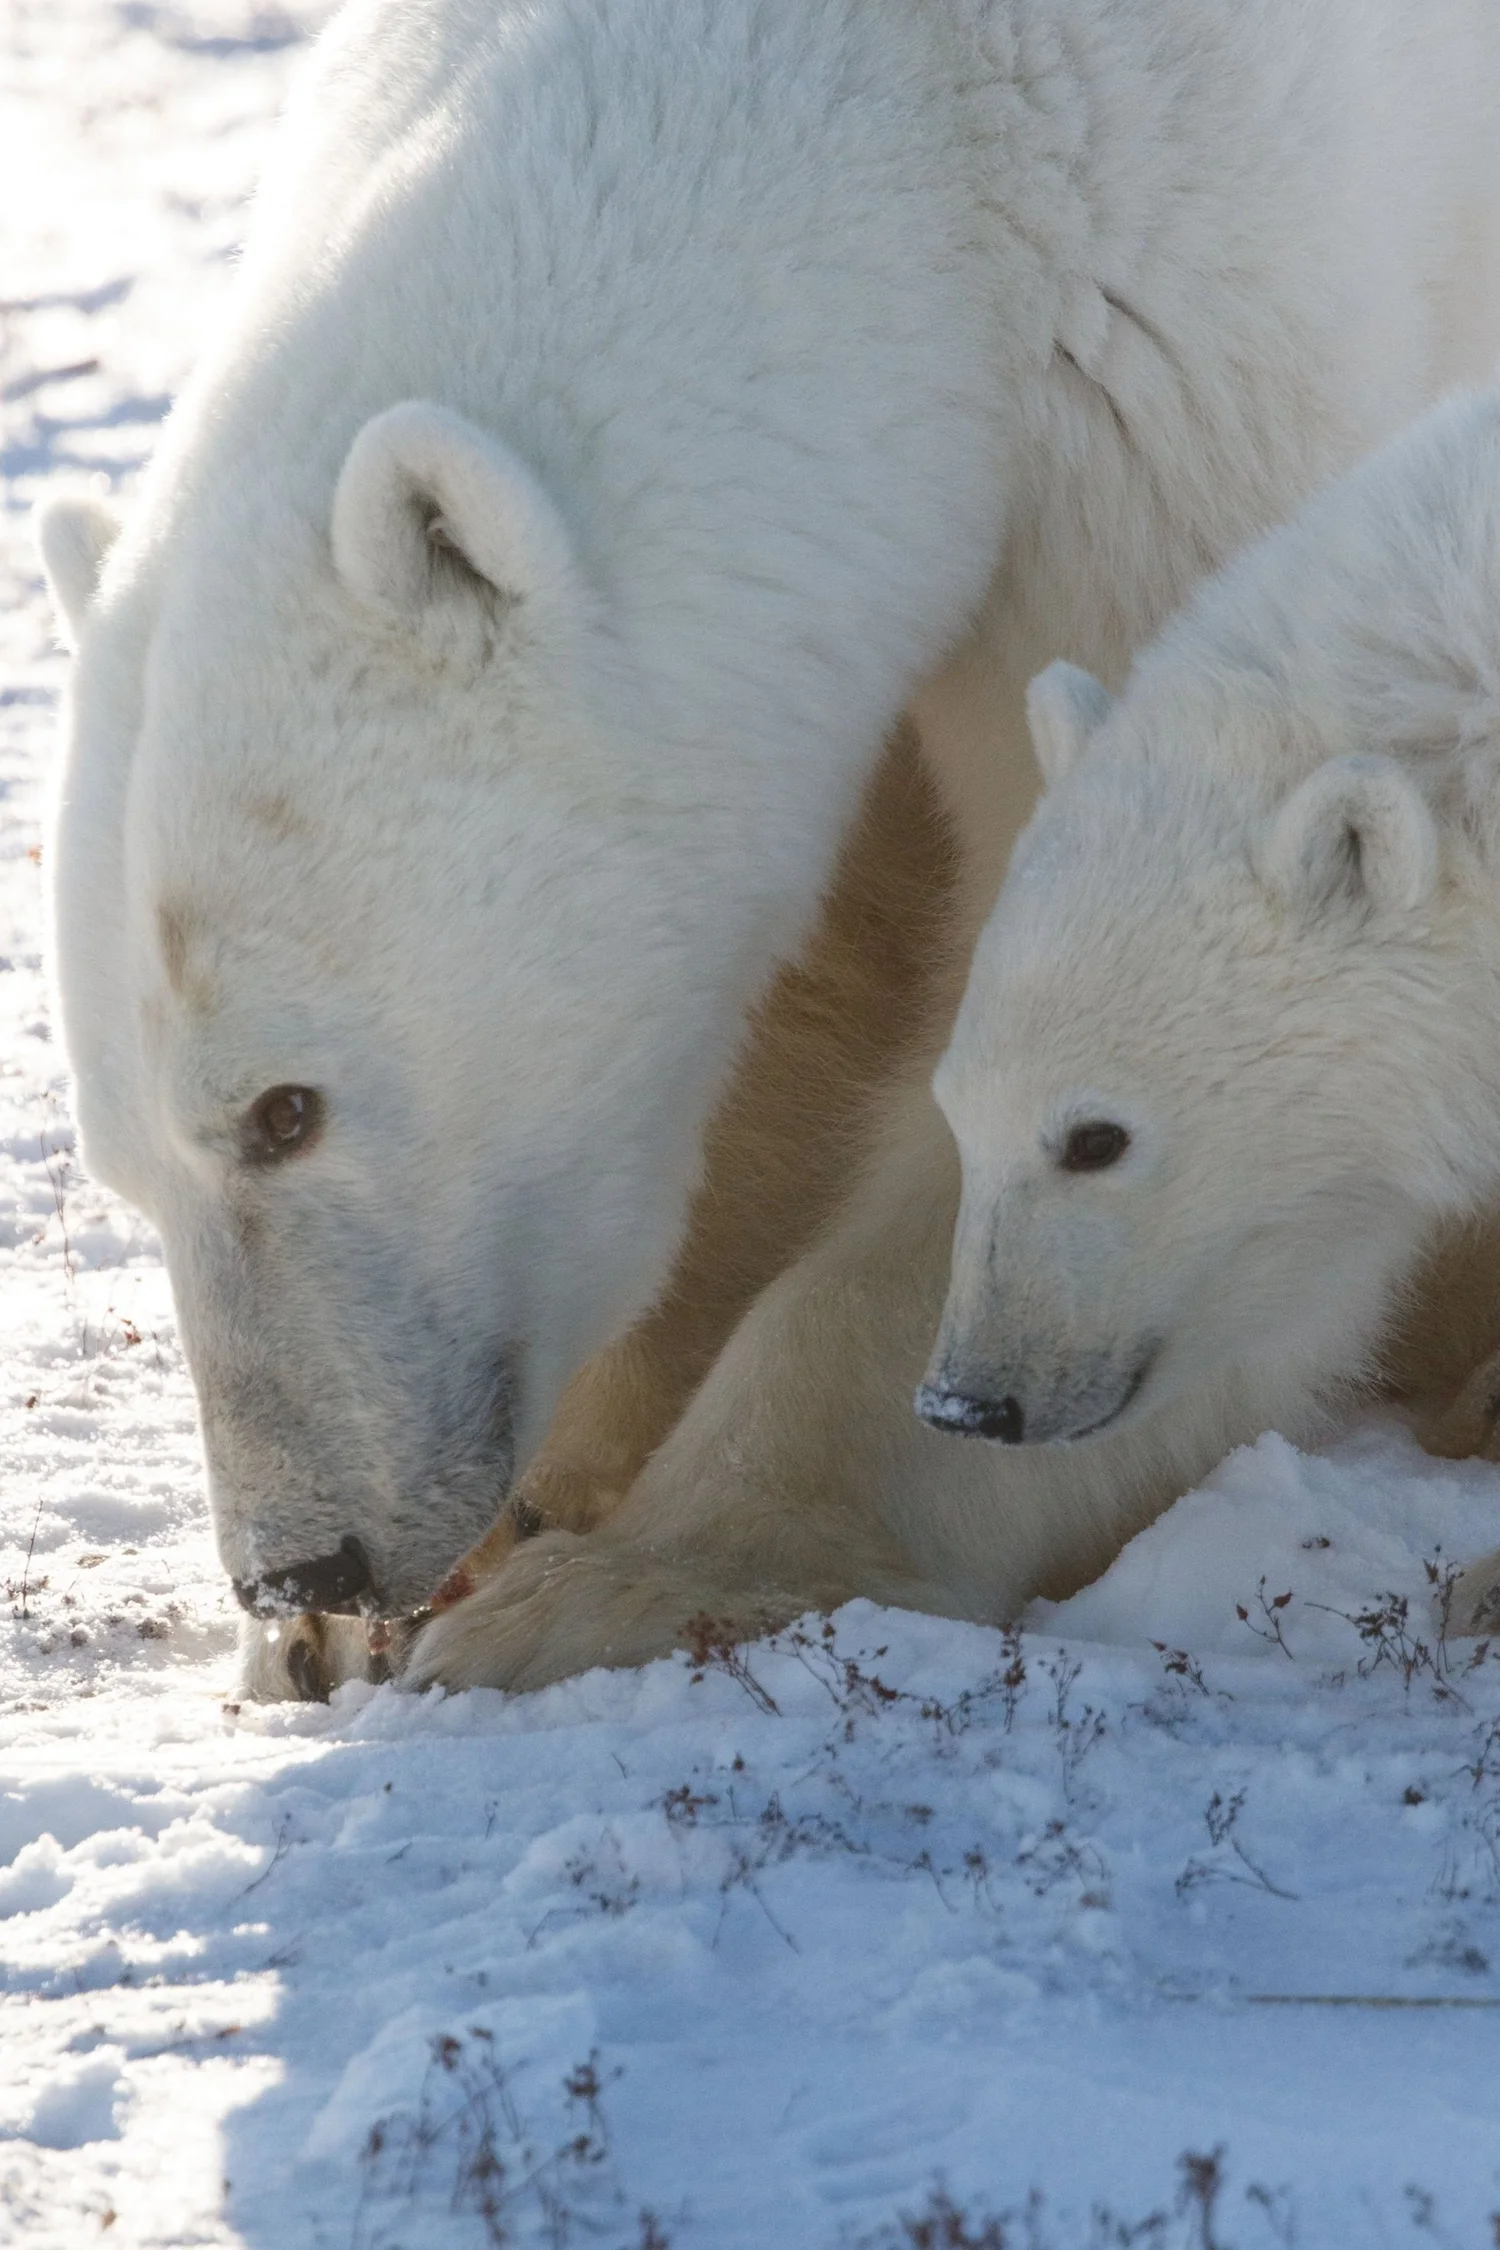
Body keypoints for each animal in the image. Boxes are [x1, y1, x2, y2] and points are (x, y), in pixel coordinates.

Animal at [35, 0, 1500, 1695]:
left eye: (286, 1110)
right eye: (122, 1165)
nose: (300, 1560)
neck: (925, 116)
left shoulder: (1184, 390)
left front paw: (624, 1580)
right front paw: (448, 1567)